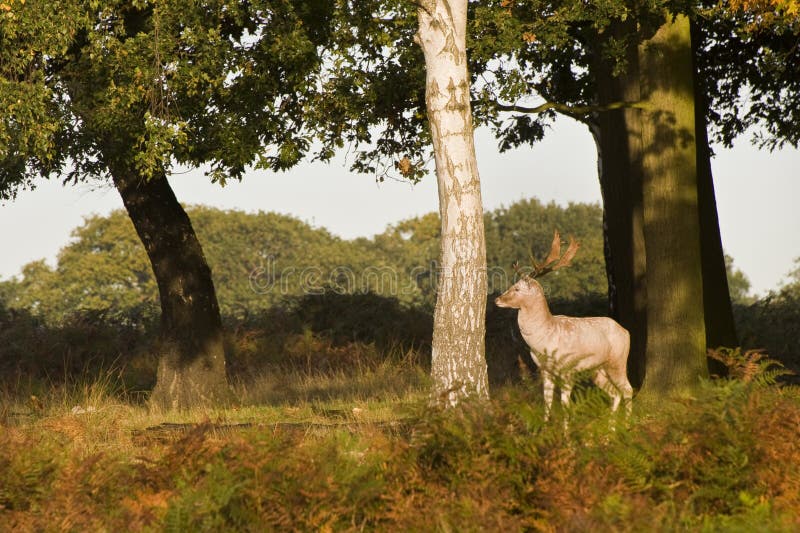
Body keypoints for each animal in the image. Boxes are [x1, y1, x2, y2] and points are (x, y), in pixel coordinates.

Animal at [495, 230, 633, 419]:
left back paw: (627, 423)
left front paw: (565, 427)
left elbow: (565, 405)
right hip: (598, 370)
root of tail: (626, 331)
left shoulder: (568, 369)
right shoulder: (545, 370)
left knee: (628, 389)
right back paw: (611, 425)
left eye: (516, 288)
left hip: (618, 361)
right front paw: (545, 425)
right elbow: (547, 403)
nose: (497, 299)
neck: (544, 340)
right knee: (615, 392)